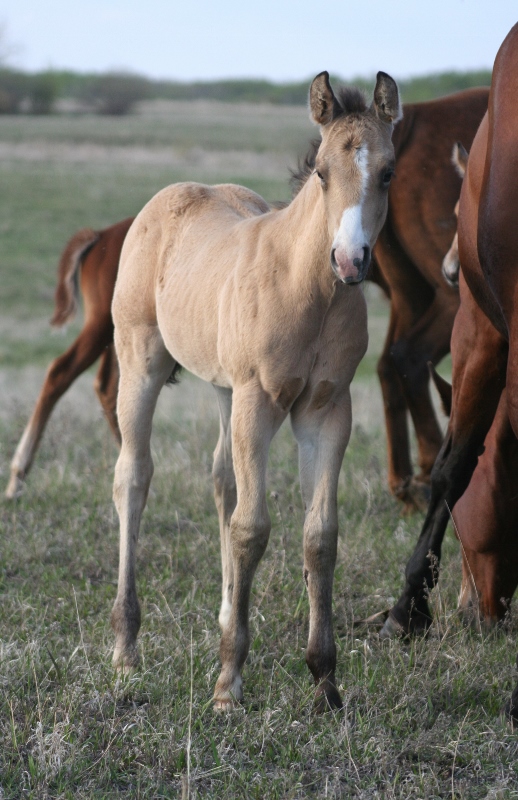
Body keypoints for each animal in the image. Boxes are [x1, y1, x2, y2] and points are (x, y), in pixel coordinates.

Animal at [109, 71, 401, 711]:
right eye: (321, 171)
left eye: (389, 171)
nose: (350, 261)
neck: (308, 289)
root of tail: (169, 196)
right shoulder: (260, 401)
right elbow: (253, 529)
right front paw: (228, 685)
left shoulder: (326, 409)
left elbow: (319, 536)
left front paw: (324, 679)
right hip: (141, 363)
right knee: (133, 477)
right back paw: (125, 647)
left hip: (225, 389)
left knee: (222, 479)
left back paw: (222, 617)